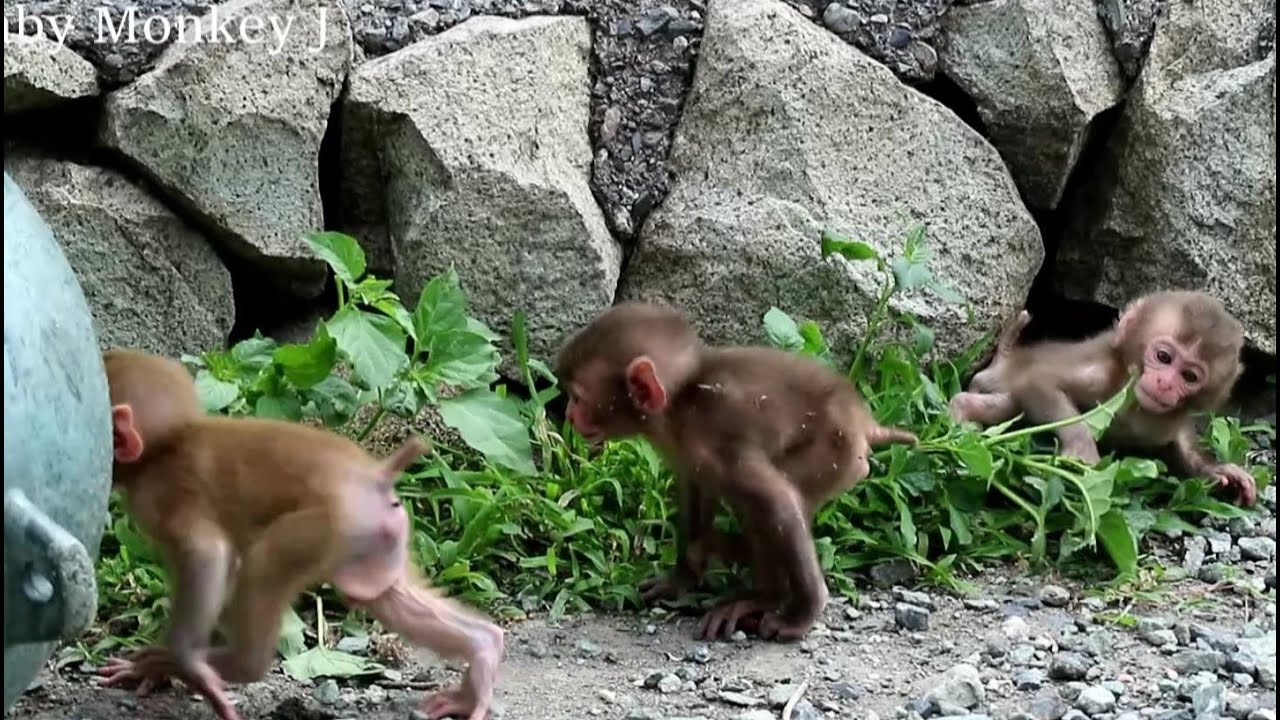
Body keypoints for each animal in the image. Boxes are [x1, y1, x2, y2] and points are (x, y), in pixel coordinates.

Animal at [94, 349, 504, 720]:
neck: (171, 440)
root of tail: (376, 476)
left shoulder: (160, 496)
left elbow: (208, 554)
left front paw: (182, 660)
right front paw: (154, 669)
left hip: (330, 524)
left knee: (266, 561)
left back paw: (233, 664)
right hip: (377, 539)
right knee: (388, 597)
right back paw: (483, 651)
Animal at [555, 302, 918, 641]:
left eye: (578, 398)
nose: (569, 415)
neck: (679, 404)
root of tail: (863, 423)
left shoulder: (717, 440)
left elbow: (779, 501)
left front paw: (803, 612)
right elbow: (696, 491)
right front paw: (680, 578)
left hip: (835, 454)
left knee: (768, 507)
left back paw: (764, 595)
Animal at [948, 290, 1257, 505]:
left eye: (1189, 376)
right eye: (1163, 357)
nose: (1165, 384)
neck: (1134, 406)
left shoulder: (1168, 420)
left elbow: (1181, 447)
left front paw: (1220, 472)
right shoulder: (1099, 374)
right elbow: (1039, 383)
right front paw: (1082, 450)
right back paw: (964, 411)